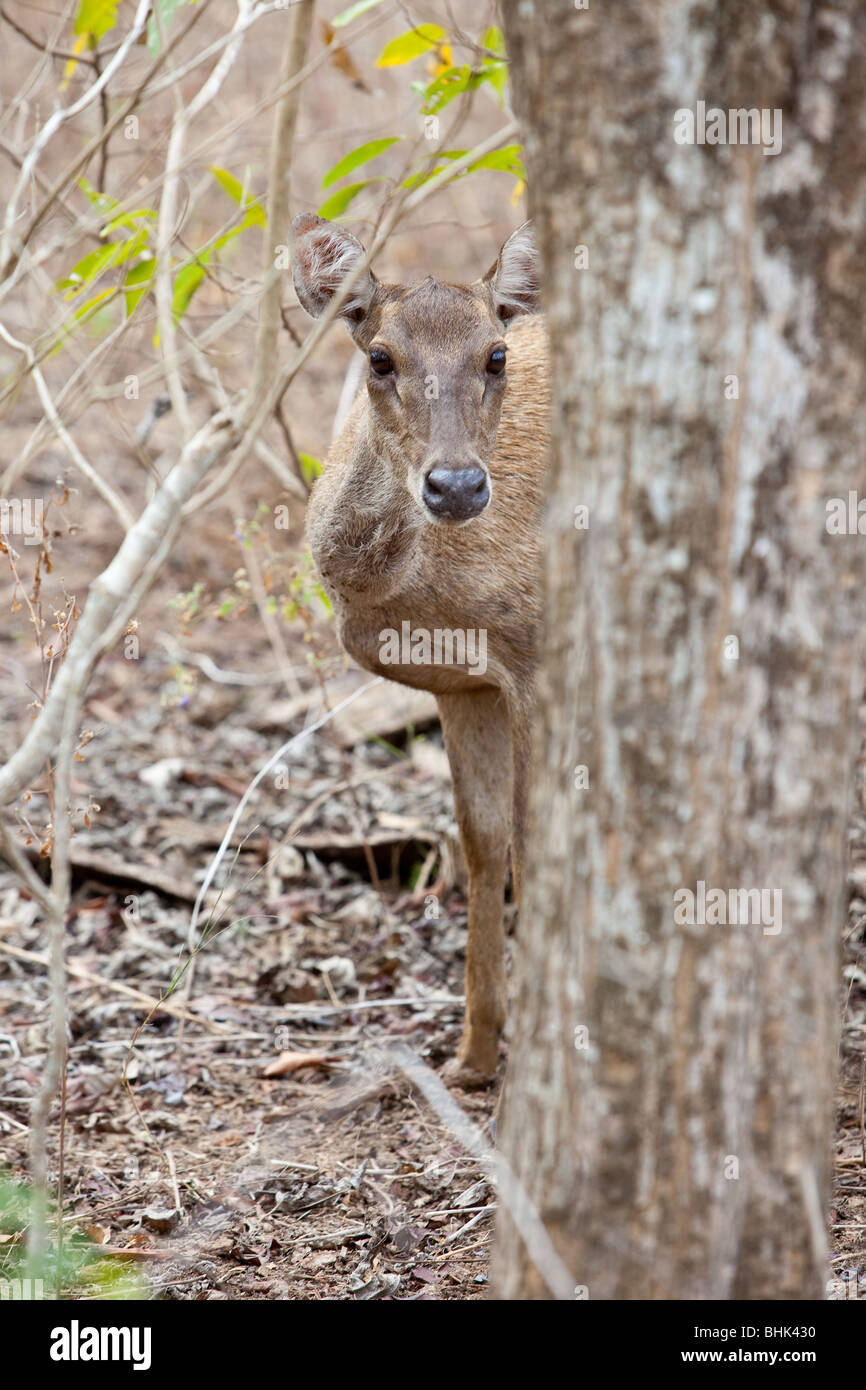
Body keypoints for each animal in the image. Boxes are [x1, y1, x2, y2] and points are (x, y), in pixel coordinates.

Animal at [291, 214, 550, 1086]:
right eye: (380, 356)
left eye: (495, 355)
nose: (458, 486)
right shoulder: (466, 684)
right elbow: (484, 843)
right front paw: (473, 1056)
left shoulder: (537, 660)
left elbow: (535, 849)